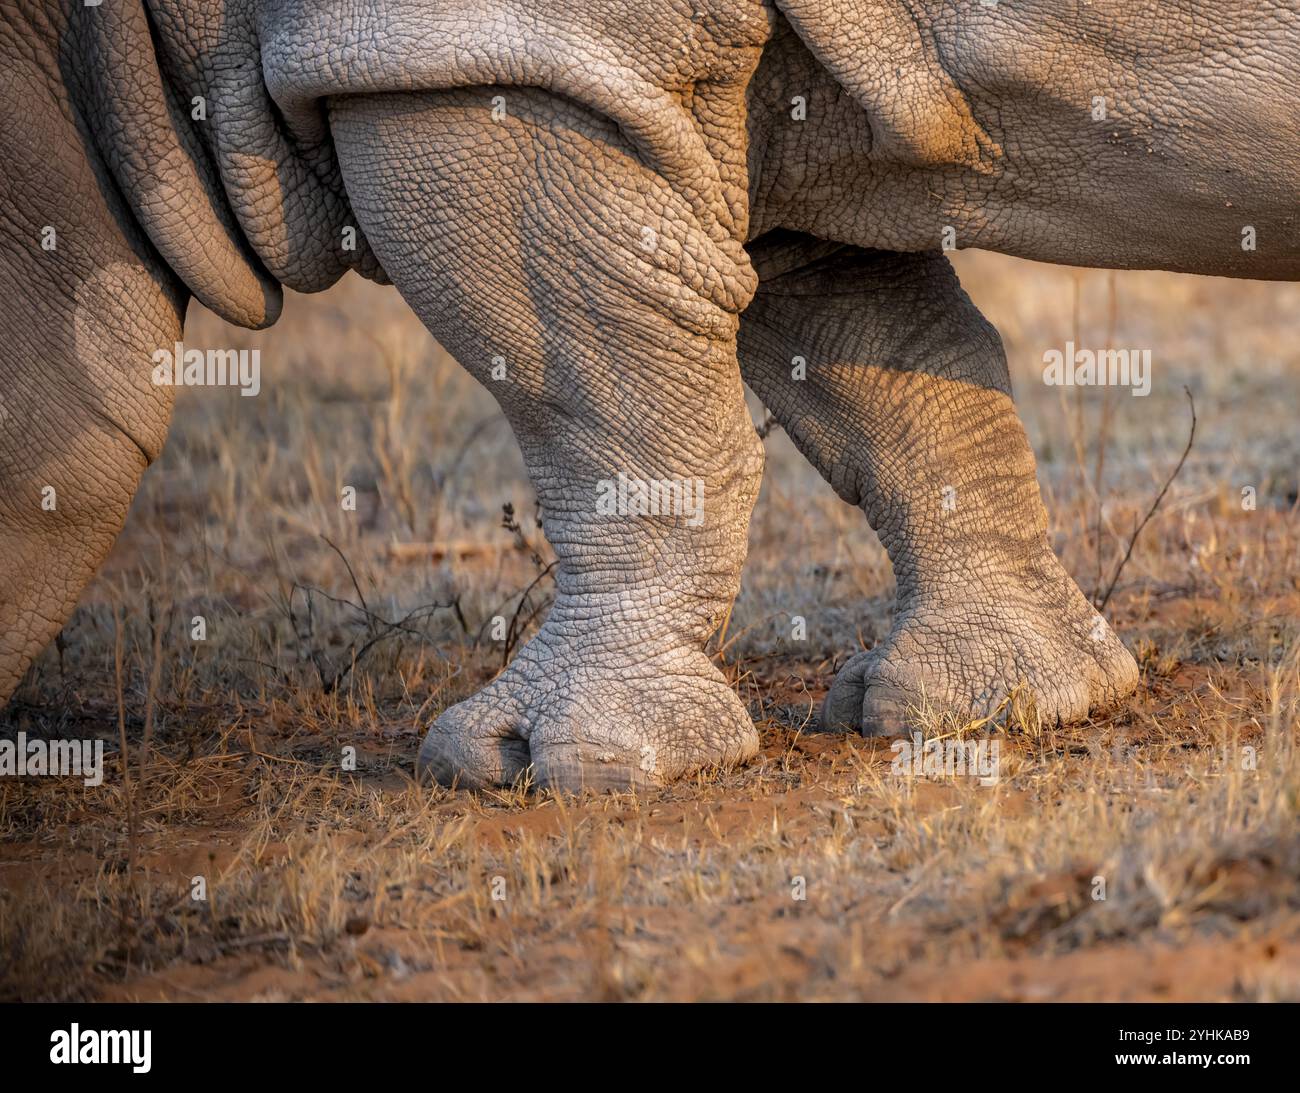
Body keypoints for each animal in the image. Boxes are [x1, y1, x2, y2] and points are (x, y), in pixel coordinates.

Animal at [2, 1, 1294, 791]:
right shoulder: (737, 120)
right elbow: (899, 381)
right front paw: (989, 707)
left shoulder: (481, 57)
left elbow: (606, 412)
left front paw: (535, 762)